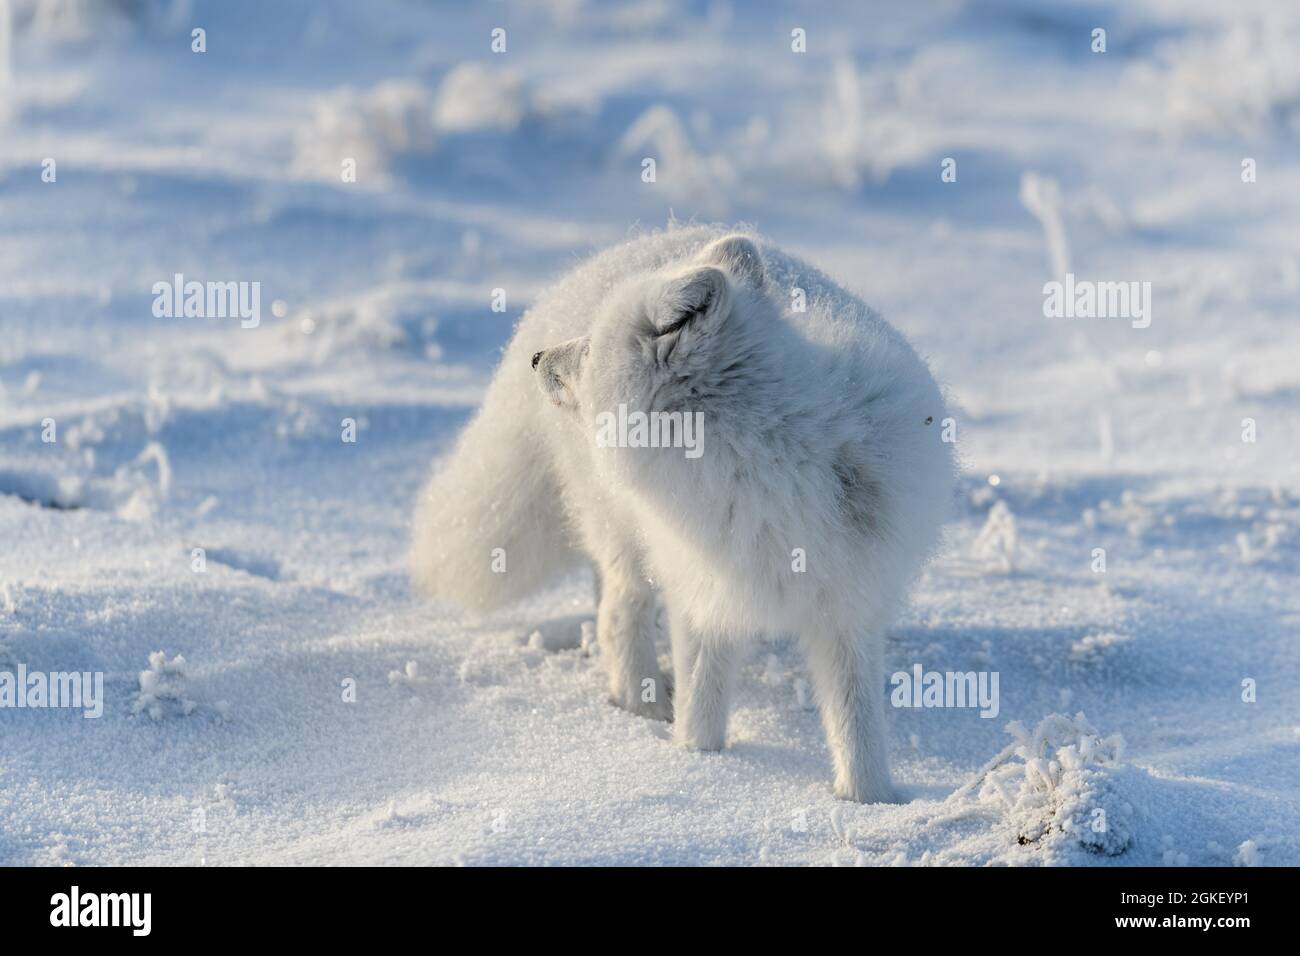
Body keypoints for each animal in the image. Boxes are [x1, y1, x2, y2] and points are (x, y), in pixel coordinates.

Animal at [411, 226, 954, 802]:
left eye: (591, 347)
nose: (536, 359)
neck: (770, 452)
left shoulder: (852, 607)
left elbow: (857, 723)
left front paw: (869, 801)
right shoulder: (702, 595)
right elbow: (703, 705)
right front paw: (700, 769)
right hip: (618, 526)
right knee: (618, 611)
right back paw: (642, 703)